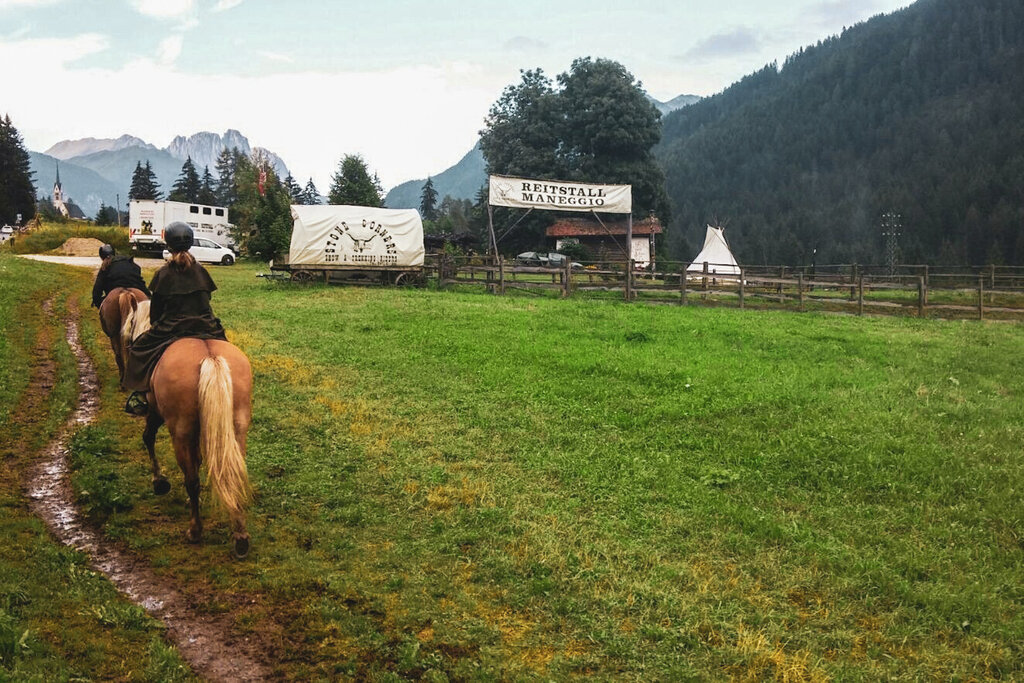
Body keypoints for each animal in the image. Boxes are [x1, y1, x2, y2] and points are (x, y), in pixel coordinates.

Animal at [125, 300, 254, 558]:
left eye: (131, 320)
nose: (127, 337)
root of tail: (211, 358)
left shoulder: (156, 412)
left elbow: (148, 437)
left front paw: (159, 482)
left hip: (180, 431)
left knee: (191, 479)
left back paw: (195, 531)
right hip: (236, 430)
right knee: (233, 472)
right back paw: (240, 536)